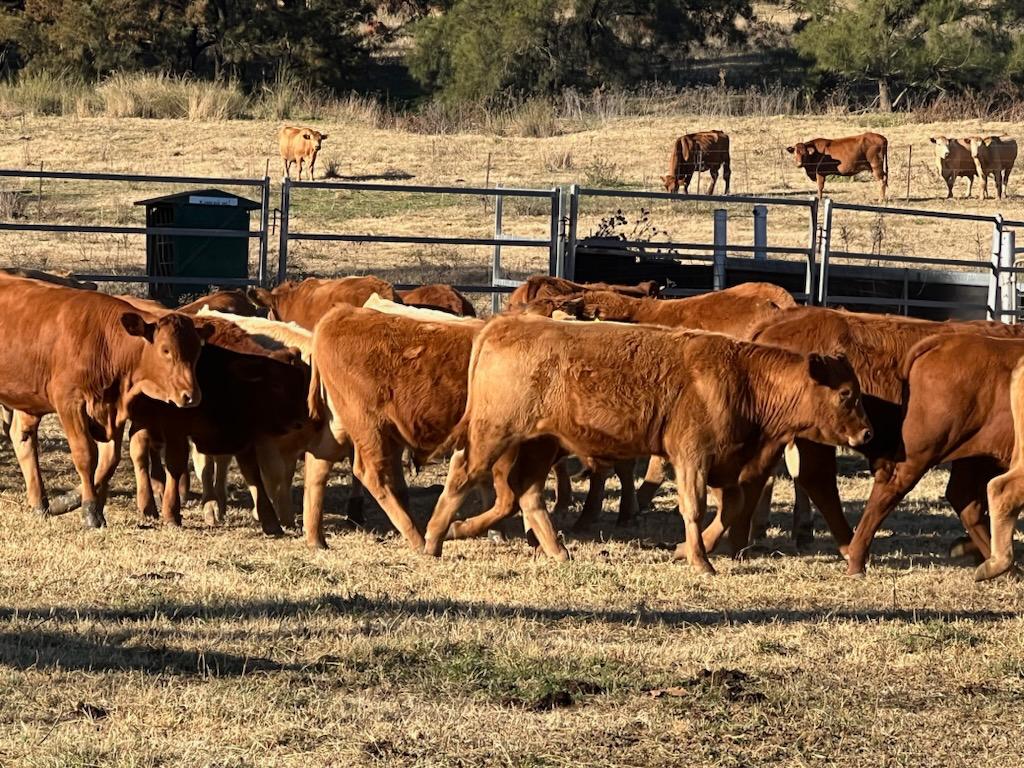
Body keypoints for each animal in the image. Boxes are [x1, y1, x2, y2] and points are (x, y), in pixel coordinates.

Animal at [0, 275, 210, 528]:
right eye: (165, 350)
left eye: (197, 352)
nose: (191, 395)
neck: (105, 343)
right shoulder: (70, 403)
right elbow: (86, 455)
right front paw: (89, 511)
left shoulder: (112, 409)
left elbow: (109, 460)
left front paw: (69, 502)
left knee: (23, 439)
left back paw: (39, 503)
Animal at [424, 315, 872, 572]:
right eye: (846, 394)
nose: (867, 434)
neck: (742, 378)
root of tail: (503, 325)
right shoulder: (692, 457)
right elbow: (695, 508)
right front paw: (700, 560)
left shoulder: (727, 464)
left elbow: (730, 509)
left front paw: (688, 551)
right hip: (494, 432)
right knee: (463, 475)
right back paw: (433, 537)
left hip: (540, 443)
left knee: (525, 494)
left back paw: (547, 548)